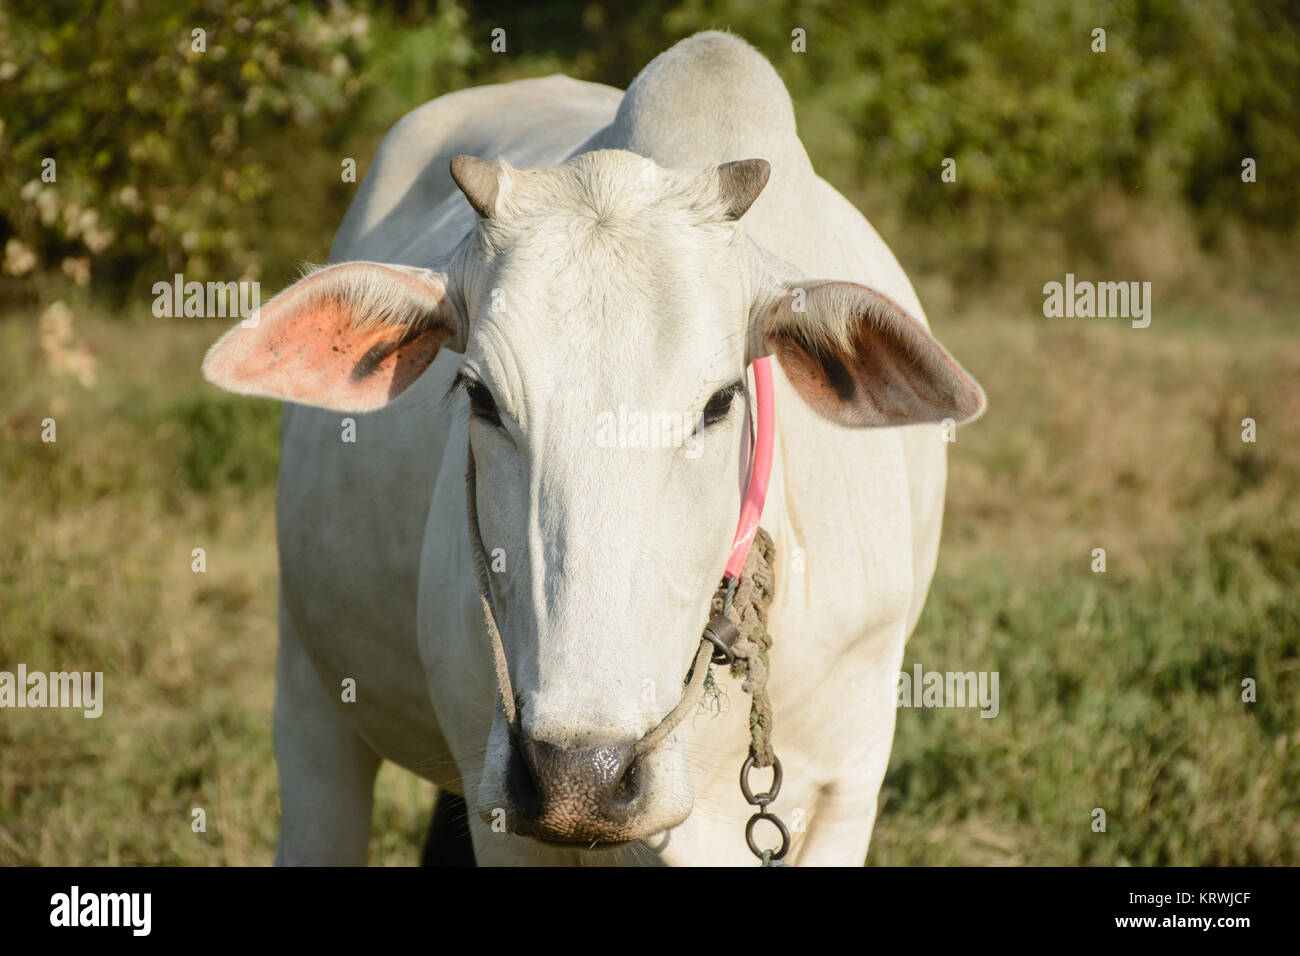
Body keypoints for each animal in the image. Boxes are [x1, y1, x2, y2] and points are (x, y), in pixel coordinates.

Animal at [202, 30, 985, 866]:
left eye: (719, 402)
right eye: (479, 395)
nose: (582, 774)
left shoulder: (849, 788)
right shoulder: (503, 811)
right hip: (311, 687)